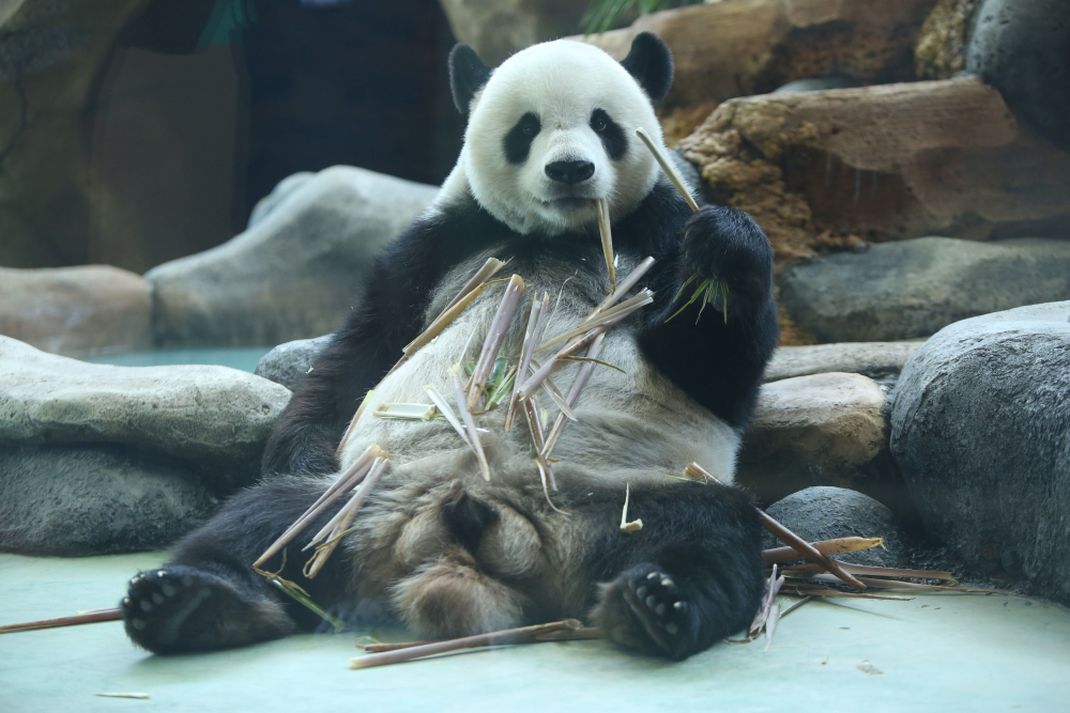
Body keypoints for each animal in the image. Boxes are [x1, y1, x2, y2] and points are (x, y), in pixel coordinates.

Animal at [123, 30, 778, 659]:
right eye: (527, 128)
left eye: (603, 124)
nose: (570, 170)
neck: (563, 236)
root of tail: (477, 523)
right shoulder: (436, 248)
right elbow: (356, 358)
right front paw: (305, 451)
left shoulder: (656, 232)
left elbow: (716, 372)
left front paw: (723, 245)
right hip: (368, 497)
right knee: (264, 525)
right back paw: (189, 603)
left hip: (622, 495)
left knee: (708, 532)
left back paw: (656, 604)